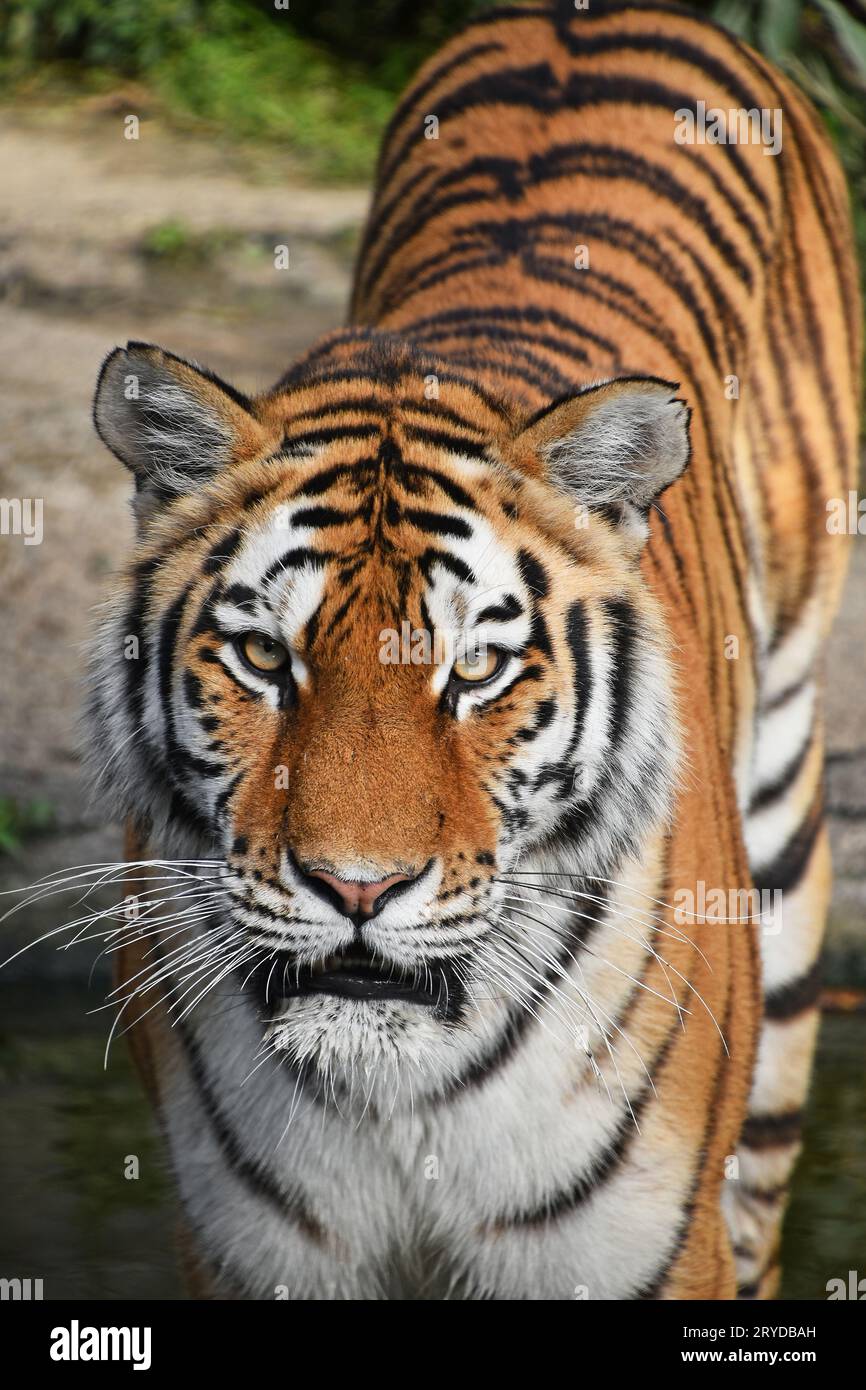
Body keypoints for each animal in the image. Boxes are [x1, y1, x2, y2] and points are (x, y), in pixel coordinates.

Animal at [86, 0, 860, 1300]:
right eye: (264, 659)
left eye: (476, 671)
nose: (355, 889)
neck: (398, 1091)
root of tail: (589, 16)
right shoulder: (245, 1252)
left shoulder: (640, 1249)